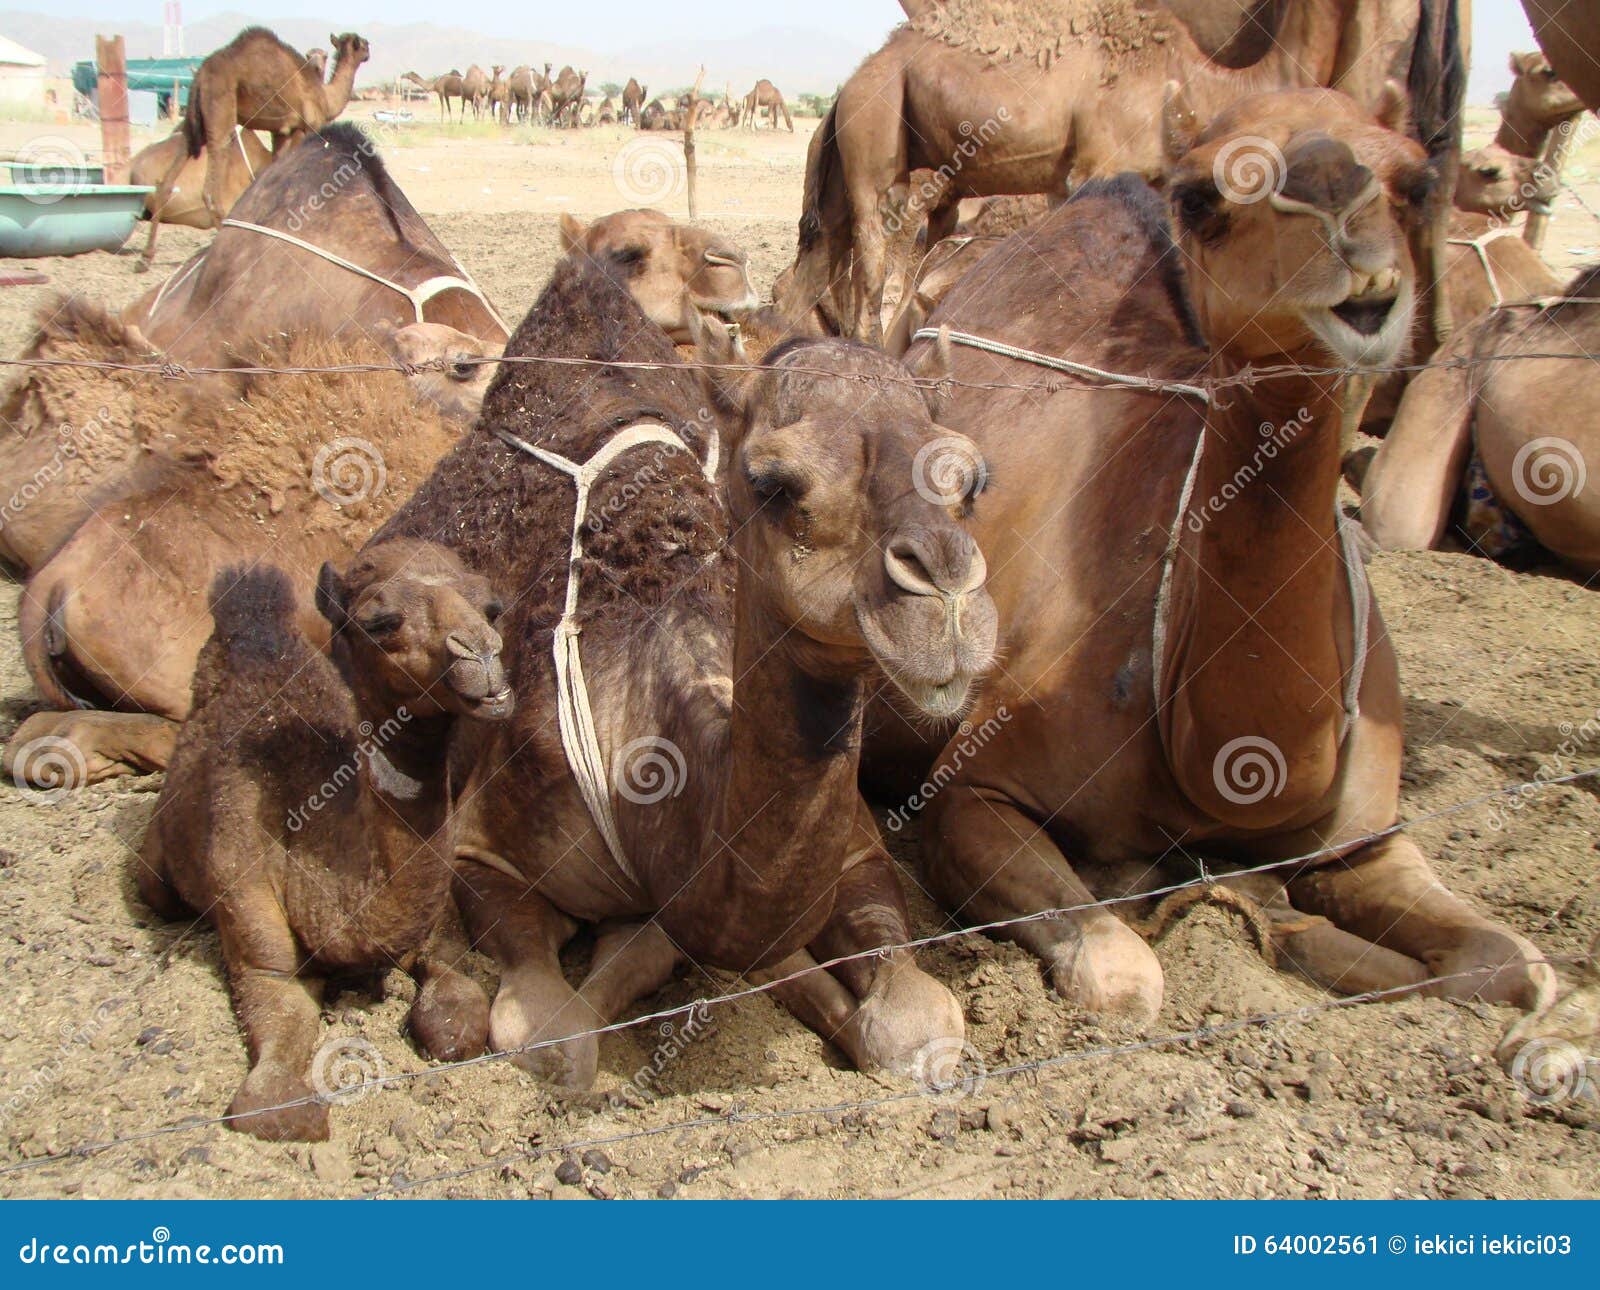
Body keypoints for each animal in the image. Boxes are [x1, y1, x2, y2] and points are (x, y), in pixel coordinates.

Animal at [136, 545, 511, 1141]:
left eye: (493, 607)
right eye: (380, 622)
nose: (483, 654)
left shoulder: (438, 930)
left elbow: (457, 1018)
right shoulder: (256, 932)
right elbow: (275, 1091)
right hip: (155, 870)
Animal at [365, 251, 996, 1086]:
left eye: (972, 482)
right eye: (772, 483)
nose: (947, 601)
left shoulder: (860, 850)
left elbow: (914, 1025)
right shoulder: (485, 850)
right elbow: (557, 1037)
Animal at [876, 89, 1553, 1031]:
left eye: (1418, 180)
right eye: (1199, 196)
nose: (1343, 217)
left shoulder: (1364, 837)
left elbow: (1514, 965)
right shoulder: (970, 795)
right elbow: (1123, 976)